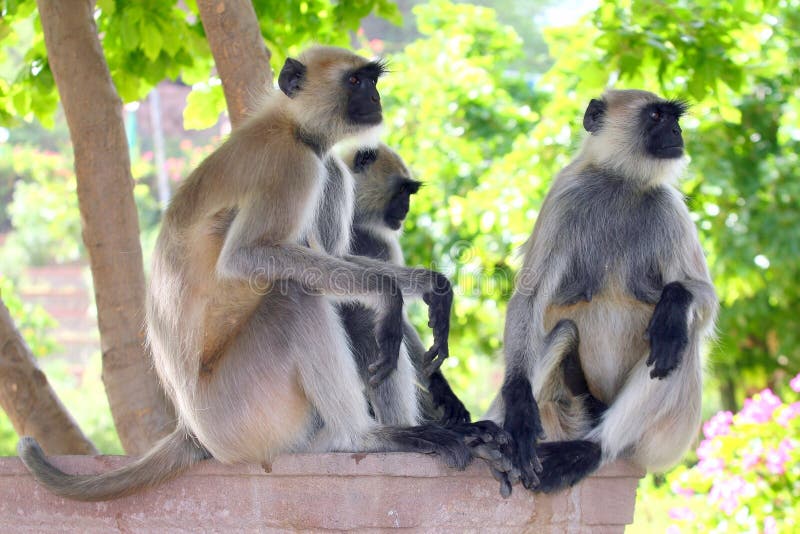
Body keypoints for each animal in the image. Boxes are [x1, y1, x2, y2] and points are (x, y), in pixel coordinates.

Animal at [337, 143, 471, 427]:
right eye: (401, 191)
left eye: (409, 193)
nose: (407, 208)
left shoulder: (381, 242)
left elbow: (397, 315)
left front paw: (441, 389)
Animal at [486, 89, 718, 493]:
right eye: (656, 116)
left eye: (673, 118)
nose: (677, 132)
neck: (620, 182)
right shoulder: (564, 197)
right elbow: (529, 298)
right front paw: (517, 408)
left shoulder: (669, 208)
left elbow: (704, 302)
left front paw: (676, 300)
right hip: (562, 413)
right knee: (564, 331)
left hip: (667, 440)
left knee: (678, 335)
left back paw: (592, 450)